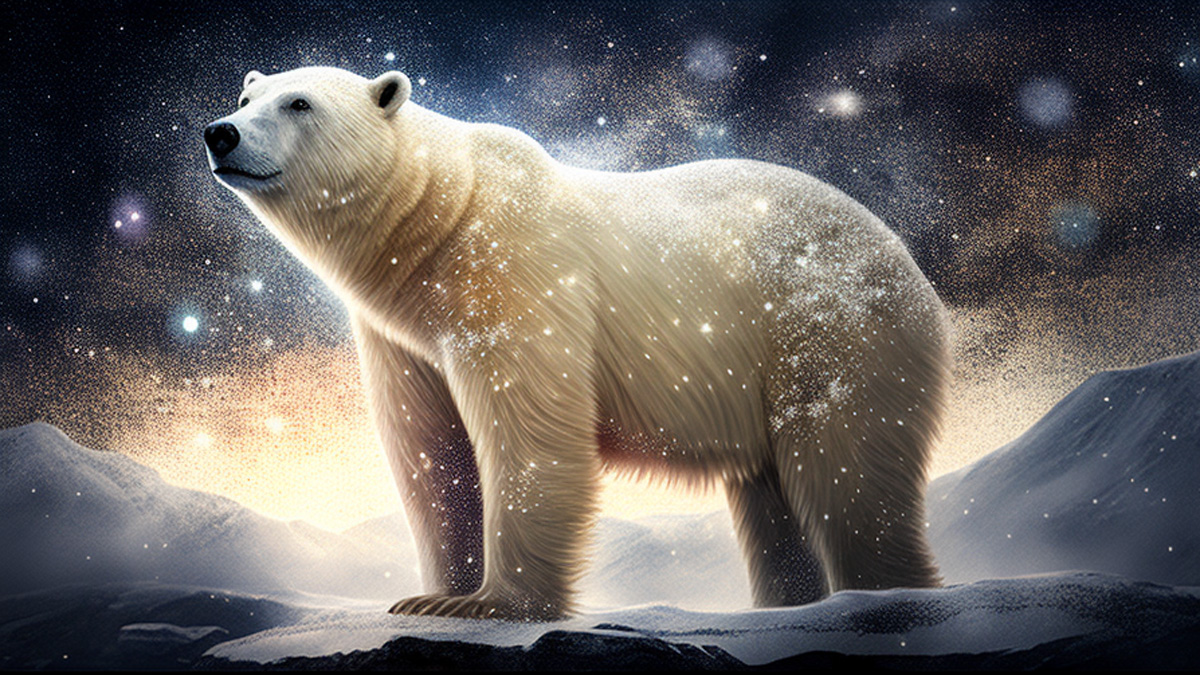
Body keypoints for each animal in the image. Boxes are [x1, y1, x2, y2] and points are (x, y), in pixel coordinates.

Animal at [204, 66, 950, 620]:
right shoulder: (402, 335)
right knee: (772, 499)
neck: (442, 217)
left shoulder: (519, 272)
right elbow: (428, 447)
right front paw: (433, 596)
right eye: (246, 97)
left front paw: (494, 604)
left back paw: (884, 595)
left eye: (299, 102)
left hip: (830, 327)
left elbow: (530, 426)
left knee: (848, 471)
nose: (220, 132)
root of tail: (914, 272)